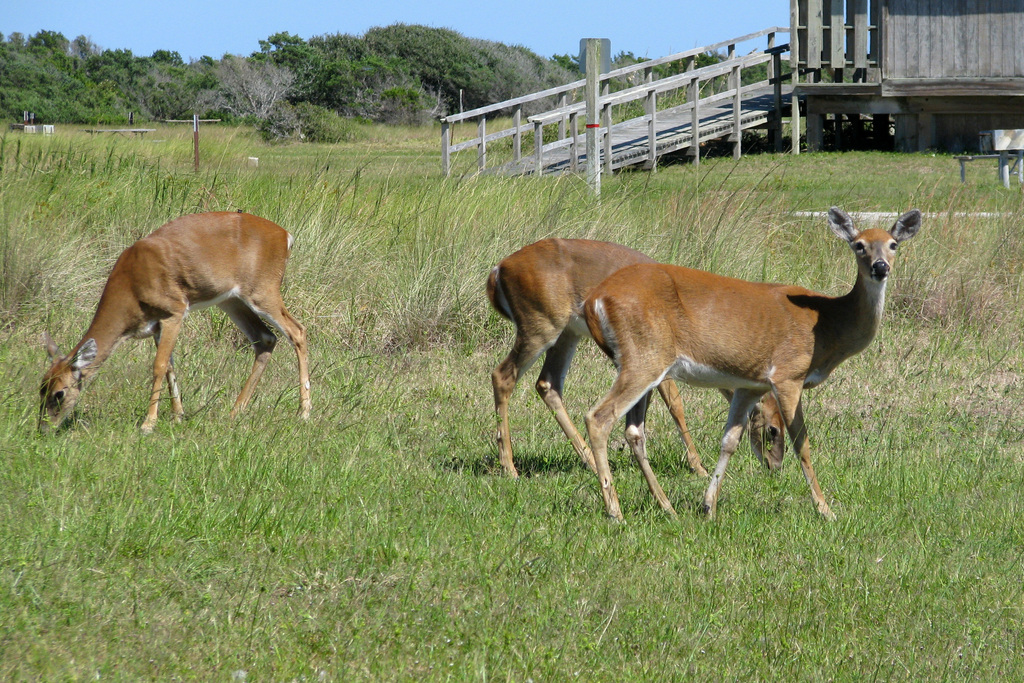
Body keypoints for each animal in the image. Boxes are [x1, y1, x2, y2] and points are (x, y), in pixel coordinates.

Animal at [39, 211, 312, 434]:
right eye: (40, 388)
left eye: (59, 393)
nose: (44, 428)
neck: (131, 288)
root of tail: (286, 236)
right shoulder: (156, 326)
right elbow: (170, 365)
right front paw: (178, 415)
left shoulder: (174, 311)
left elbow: (158, 365)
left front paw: (148, 423)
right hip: (231, 300)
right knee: (265, 338)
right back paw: (236, 410)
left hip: (263, 288)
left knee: (297, 331)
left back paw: (304, 412)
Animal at [487, 238, 785, 494]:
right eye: (773, 429)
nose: (774, 467)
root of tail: (498, 269)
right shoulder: (662, 361)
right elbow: (676, 406)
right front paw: (698, 467)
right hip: (540, 328)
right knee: (503, 375)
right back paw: (510, 468)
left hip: (567, 334)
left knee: (547, 384)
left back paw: (590, 461)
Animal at [582, 208, 922, 521]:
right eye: (859, 245)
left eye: (893, 244)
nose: (880, 267)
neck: (829, 322)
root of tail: (595, 299)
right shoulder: (787, 375)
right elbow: (803, 443)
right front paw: (826, 510)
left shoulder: (749, 384)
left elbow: (729, 440)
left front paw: (709, 507)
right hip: (644, 357)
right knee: (598, 417)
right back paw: (615, 512)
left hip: (642, 362)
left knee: (634, 430)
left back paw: (667, 508)